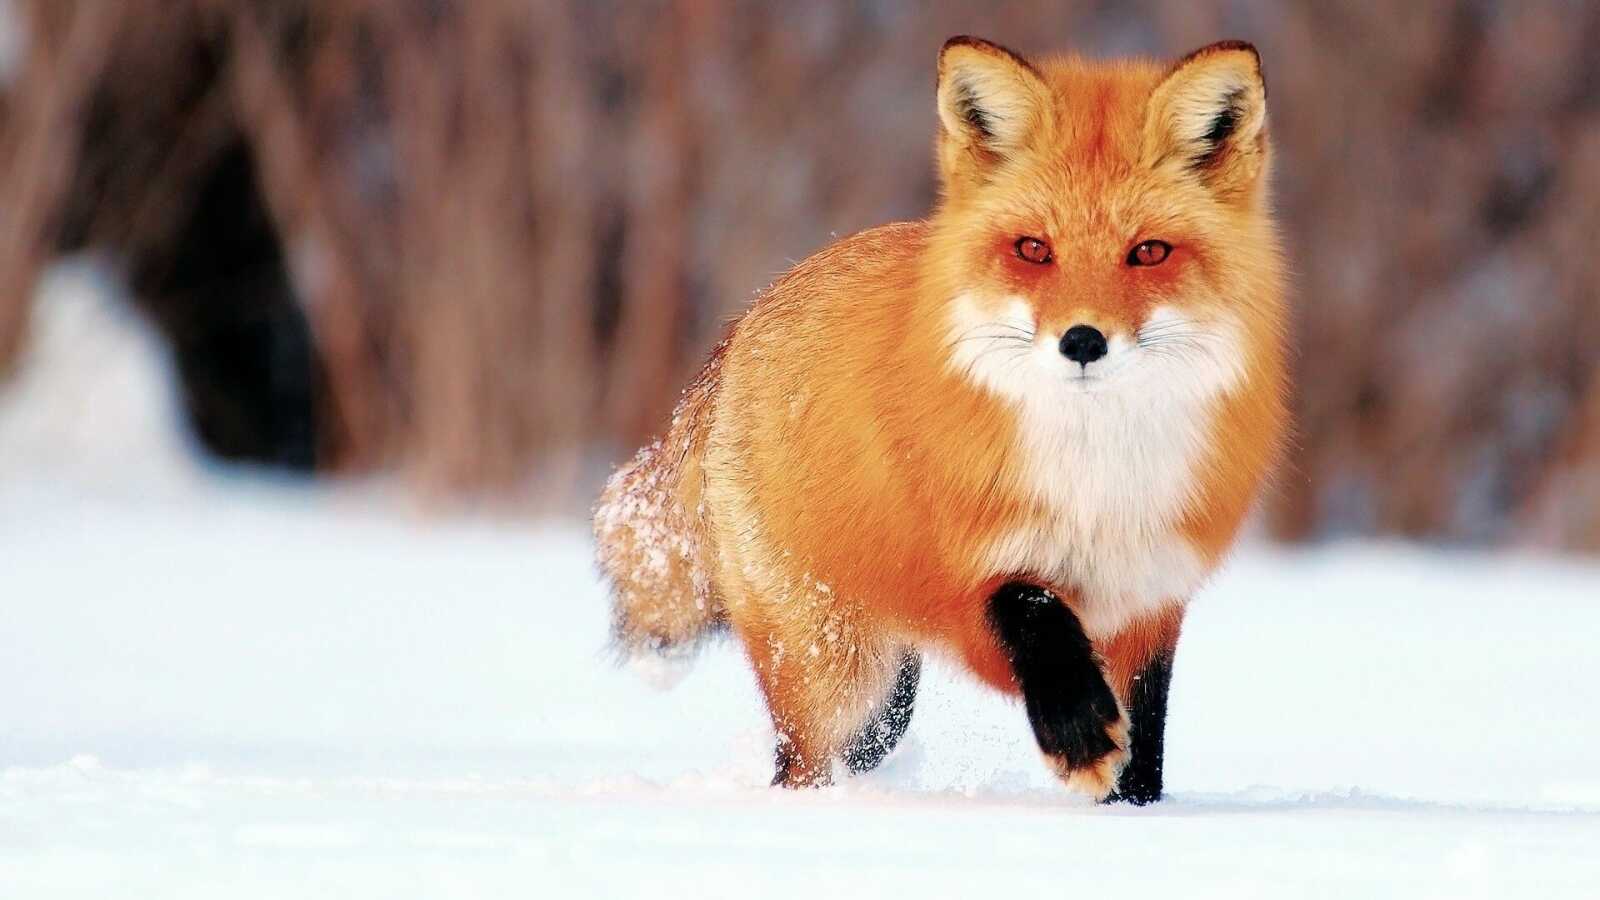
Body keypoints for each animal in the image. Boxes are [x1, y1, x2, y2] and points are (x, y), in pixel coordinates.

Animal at [594, 36, 1287, 804]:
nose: (1082, 341)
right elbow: (1034, 609)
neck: (1095, 483)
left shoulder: (1150, 597)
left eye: (1149, 252)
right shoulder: (962, 573)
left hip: (885, 699)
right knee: (798, 763)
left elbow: (1146, 748)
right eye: (1034, 249)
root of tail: (744, 322)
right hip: (834, 668)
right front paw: (1078, 736)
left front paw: (1133, 811)